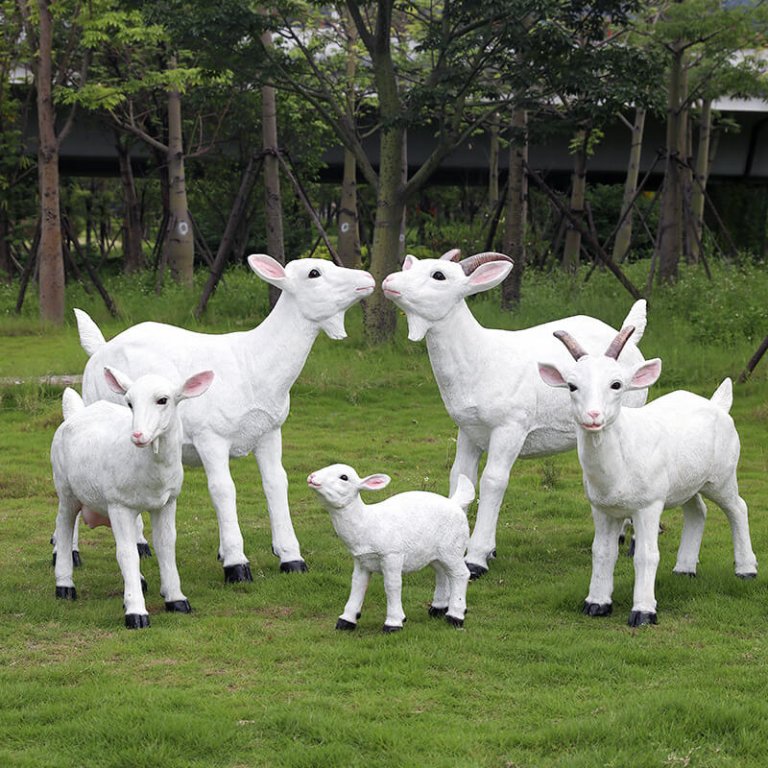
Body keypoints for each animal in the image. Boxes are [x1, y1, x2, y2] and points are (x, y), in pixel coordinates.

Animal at [51, 367, 214, 628]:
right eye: (129, 403)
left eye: (163, 400)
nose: (137, 435)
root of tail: (77, 413)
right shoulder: (120, 505)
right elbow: (127, 553)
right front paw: (136, 612)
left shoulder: (167, 502)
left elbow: (165, 546)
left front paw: (176, 599)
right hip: (66, 488)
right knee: (64, 527)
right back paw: (65, 585)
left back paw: (139, 580)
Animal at [71, 254, 375, 582]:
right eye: (314, 273)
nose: (368, 278)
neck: (253, 362)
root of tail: (101, 347)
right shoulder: (211, 437)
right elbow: (223, 489)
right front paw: (236, 563)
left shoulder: (270, 430)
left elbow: (275, 483)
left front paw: (291, 557)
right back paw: (80, 553)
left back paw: (139, 545)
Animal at [307, 464, 474, 632]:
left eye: (344, 477)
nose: (312, 477)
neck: (365, 521)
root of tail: (455, 503)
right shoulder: (361, 559)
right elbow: (358, 584)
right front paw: (346, 620)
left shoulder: (392, 555)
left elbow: (392, 585)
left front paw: (394, 622)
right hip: (435, 552)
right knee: (442, 573)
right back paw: (438, 608)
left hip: (453, 547)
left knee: (461, 574)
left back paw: (455, 616)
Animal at [381, 249, 648, 578]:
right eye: (411, 265)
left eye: (439, 275)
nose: (389, 281)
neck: (481, 357)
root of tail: (629, 338)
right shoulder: (468, 429)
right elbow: (461, 476)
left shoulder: (510, 427)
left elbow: (493, 480)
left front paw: (477, 557)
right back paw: (620, 533)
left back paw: (633, 541)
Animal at [538, 326, 758, 626]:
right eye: (572, 386)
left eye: (616, 384)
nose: (593, 416)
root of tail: (718, 405)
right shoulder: (602, 508)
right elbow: (602, 552)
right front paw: (596, 603)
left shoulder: (649, 505)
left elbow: (646, 555)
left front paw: (643, 611)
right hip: (685, 483)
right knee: (697, 511)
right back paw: (684, 569)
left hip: (722, 476)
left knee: (738, 508)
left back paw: (746, 569)